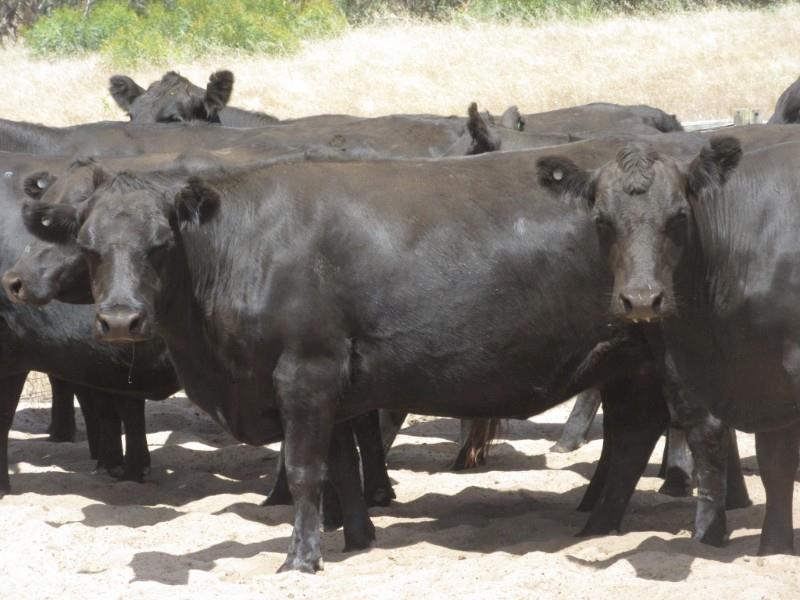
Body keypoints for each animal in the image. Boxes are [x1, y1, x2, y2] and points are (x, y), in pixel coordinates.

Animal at [534, 135, 800, 555]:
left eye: (679, 216)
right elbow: (775, 467)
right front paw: (773, 551)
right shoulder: (765, 377)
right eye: (601, 220)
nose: (642, 300)